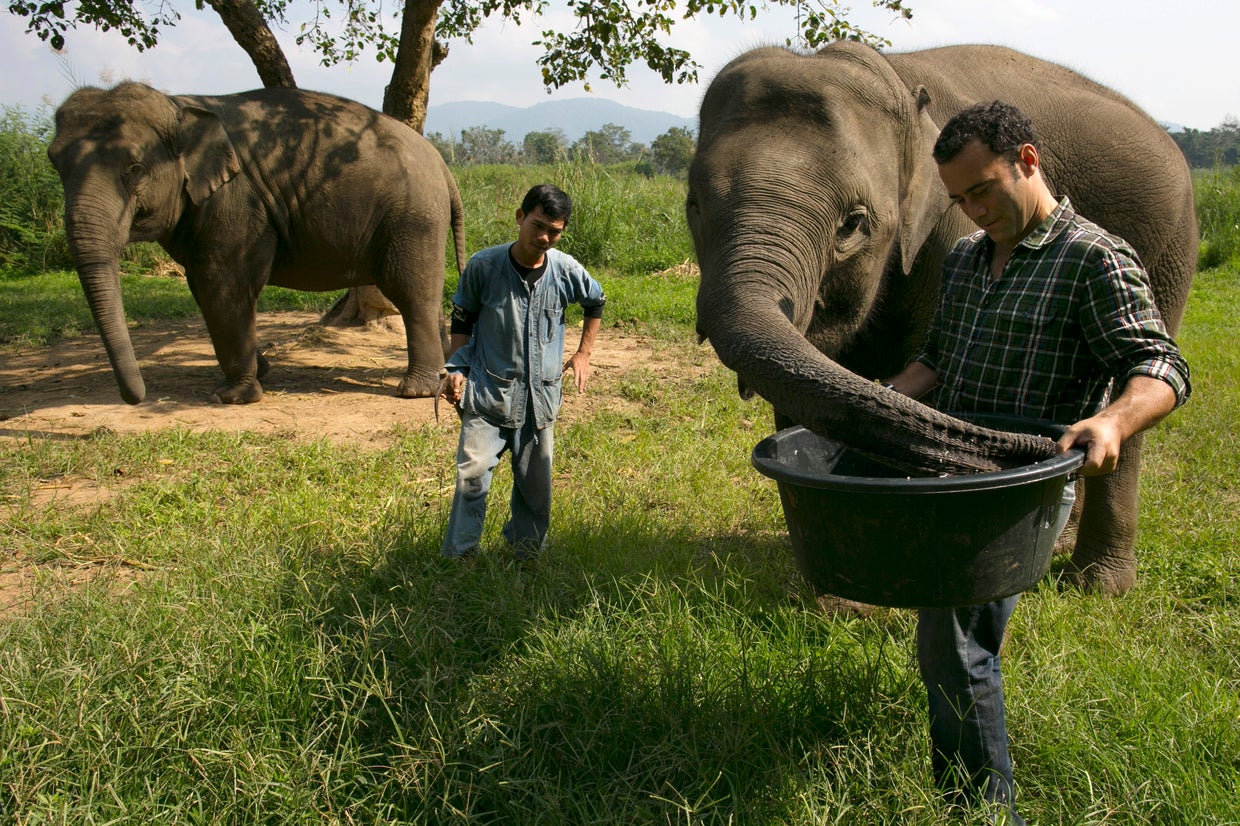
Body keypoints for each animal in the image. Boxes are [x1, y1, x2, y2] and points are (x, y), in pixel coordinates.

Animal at [48, 81, 466, 405]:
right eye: (54, 163)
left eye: (135, 169)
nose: (136, 397)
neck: (179, 104)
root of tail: (442, 165)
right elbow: (203, 287)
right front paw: (260, 371)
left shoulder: (234, 201)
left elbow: (222, 284)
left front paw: (231, 397)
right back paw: (442, 371)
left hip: (412, 218)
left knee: (411, 292)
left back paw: (414, 391)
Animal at [687, 42, 1196, 596]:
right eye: (694, 207)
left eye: (853, 225)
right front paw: (832, 598)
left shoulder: (950, 231)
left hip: (1167, 252)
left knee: (1141, 375)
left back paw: (1097, 584)